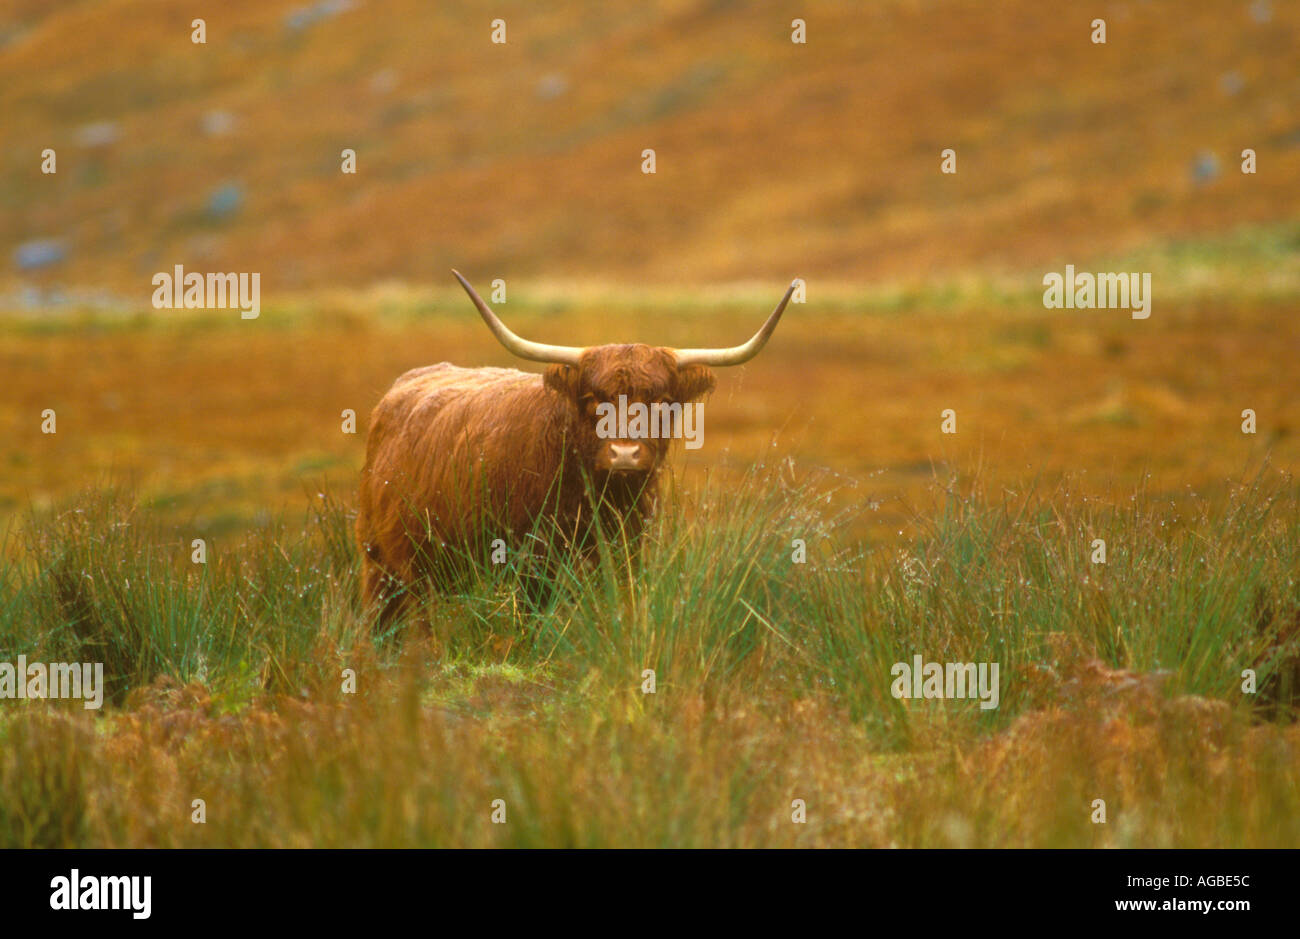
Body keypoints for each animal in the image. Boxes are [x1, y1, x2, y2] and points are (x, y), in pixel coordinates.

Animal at [356, 271, 795, 622]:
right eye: (592, 399)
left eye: (662, 401)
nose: (624, 454)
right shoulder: (528, 563)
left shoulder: (625, 555)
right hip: (382, 563)